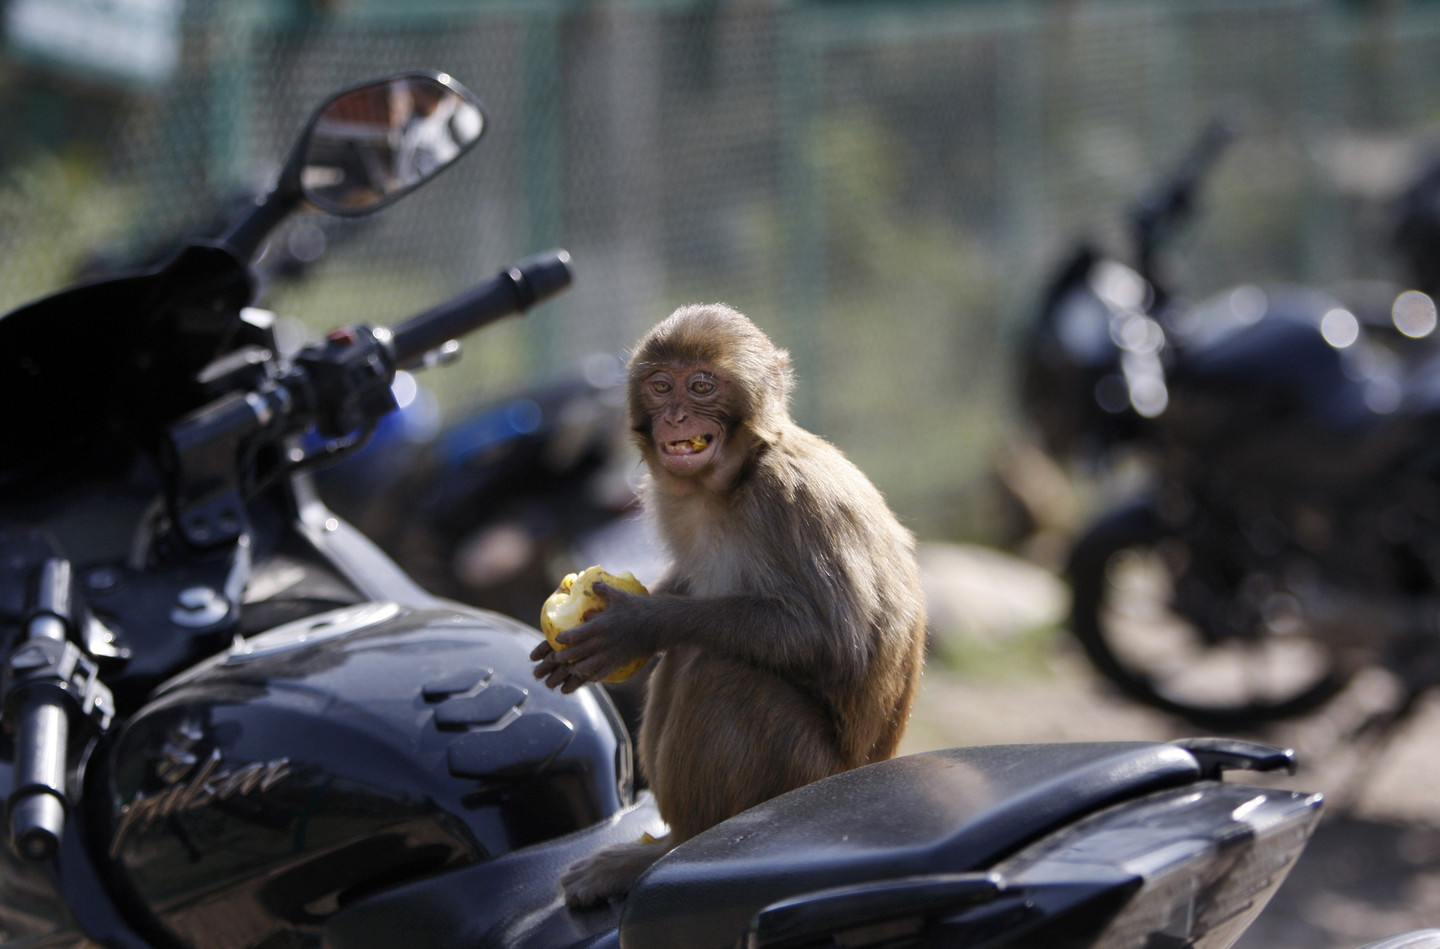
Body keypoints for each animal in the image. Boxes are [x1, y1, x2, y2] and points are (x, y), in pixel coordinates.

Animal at [530, 303, 928, 908]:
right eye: (661, 385)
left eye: (701, 386)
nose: (673, 418)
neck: (734, 479)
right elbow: (690, 583)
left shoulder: (791, 500)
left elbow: (840, 640)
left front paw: (637, 626)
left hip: (802, 775)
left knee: (719, 673)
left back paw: (668, 851)